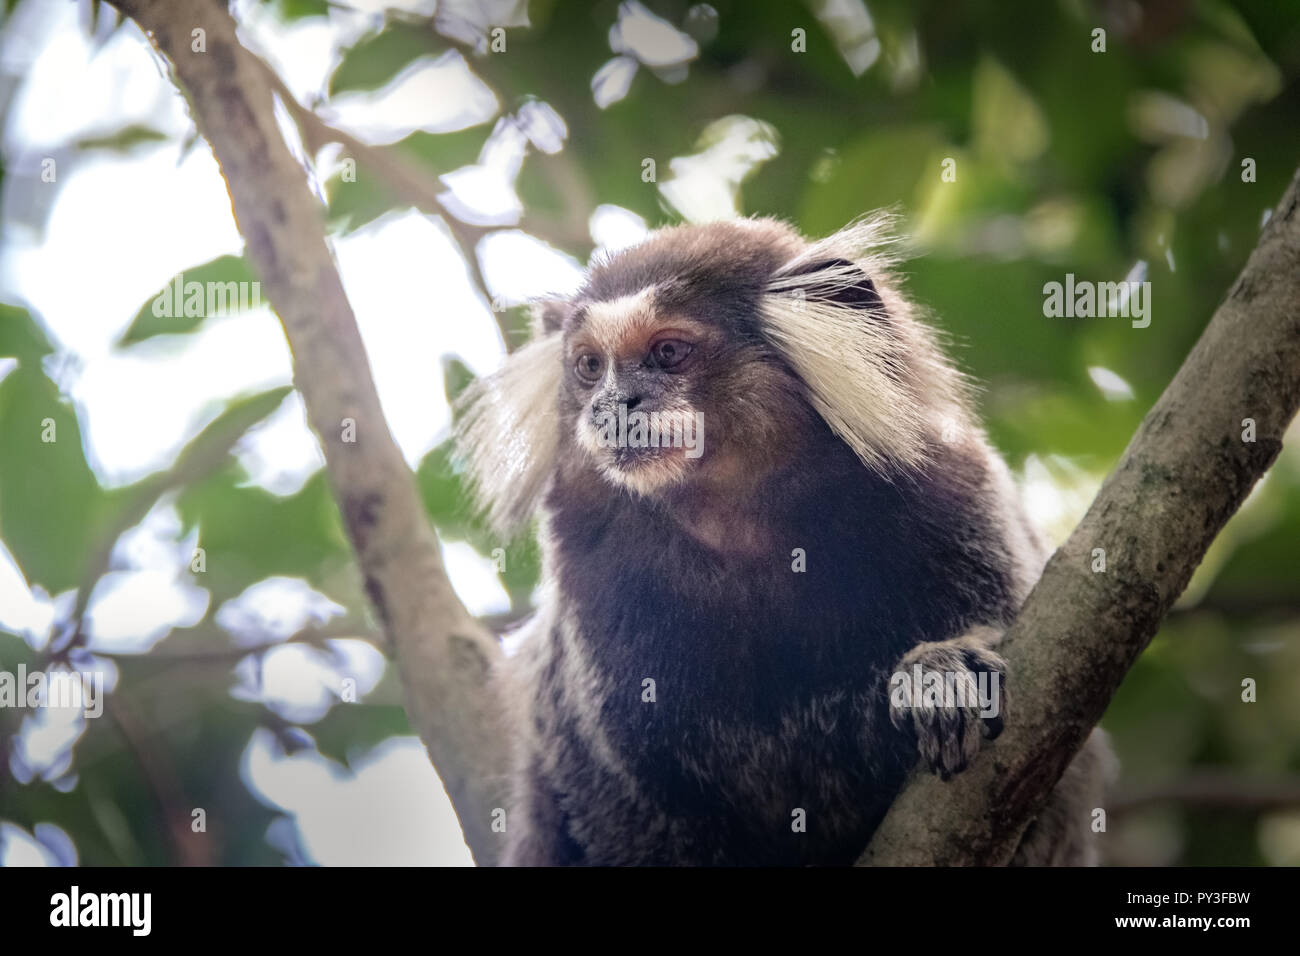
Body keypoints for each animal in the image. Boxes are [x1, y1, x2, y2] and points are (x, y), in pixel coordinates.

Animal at [455, 213, 1114, 866]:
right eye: (590, 366)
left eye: (668, 352)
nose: (613, 404)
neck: (742, 524)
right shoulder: (592, 577)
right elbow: (627, 795)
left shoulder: (954, 491)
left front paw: (941, 673)